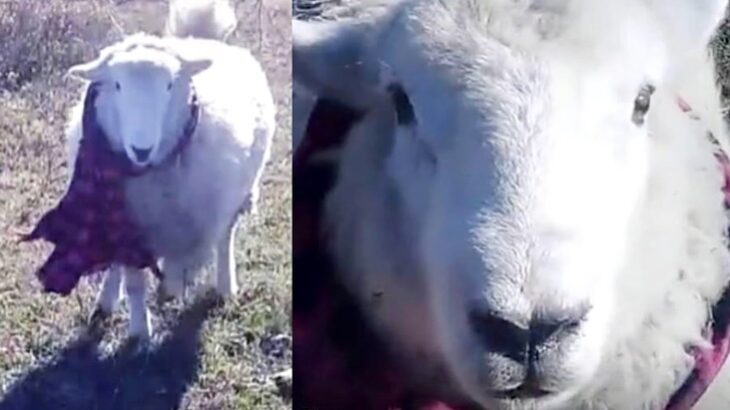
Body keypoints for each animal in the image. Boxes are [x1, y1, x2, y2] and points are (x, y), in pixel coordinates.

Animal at [60, 0, 276, 340]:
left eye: (170, 84)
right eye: (117, 84)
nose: (141, 149)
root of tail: (199, 38)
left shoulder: (193, 225)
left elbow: (180, 267)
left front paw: (168, 294)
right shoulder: (128, 228)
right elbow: (135, 284)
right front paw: (139, 332)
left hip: (234, 199)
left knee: (224, 239)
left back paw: (225, 287)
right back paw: (106, 301)